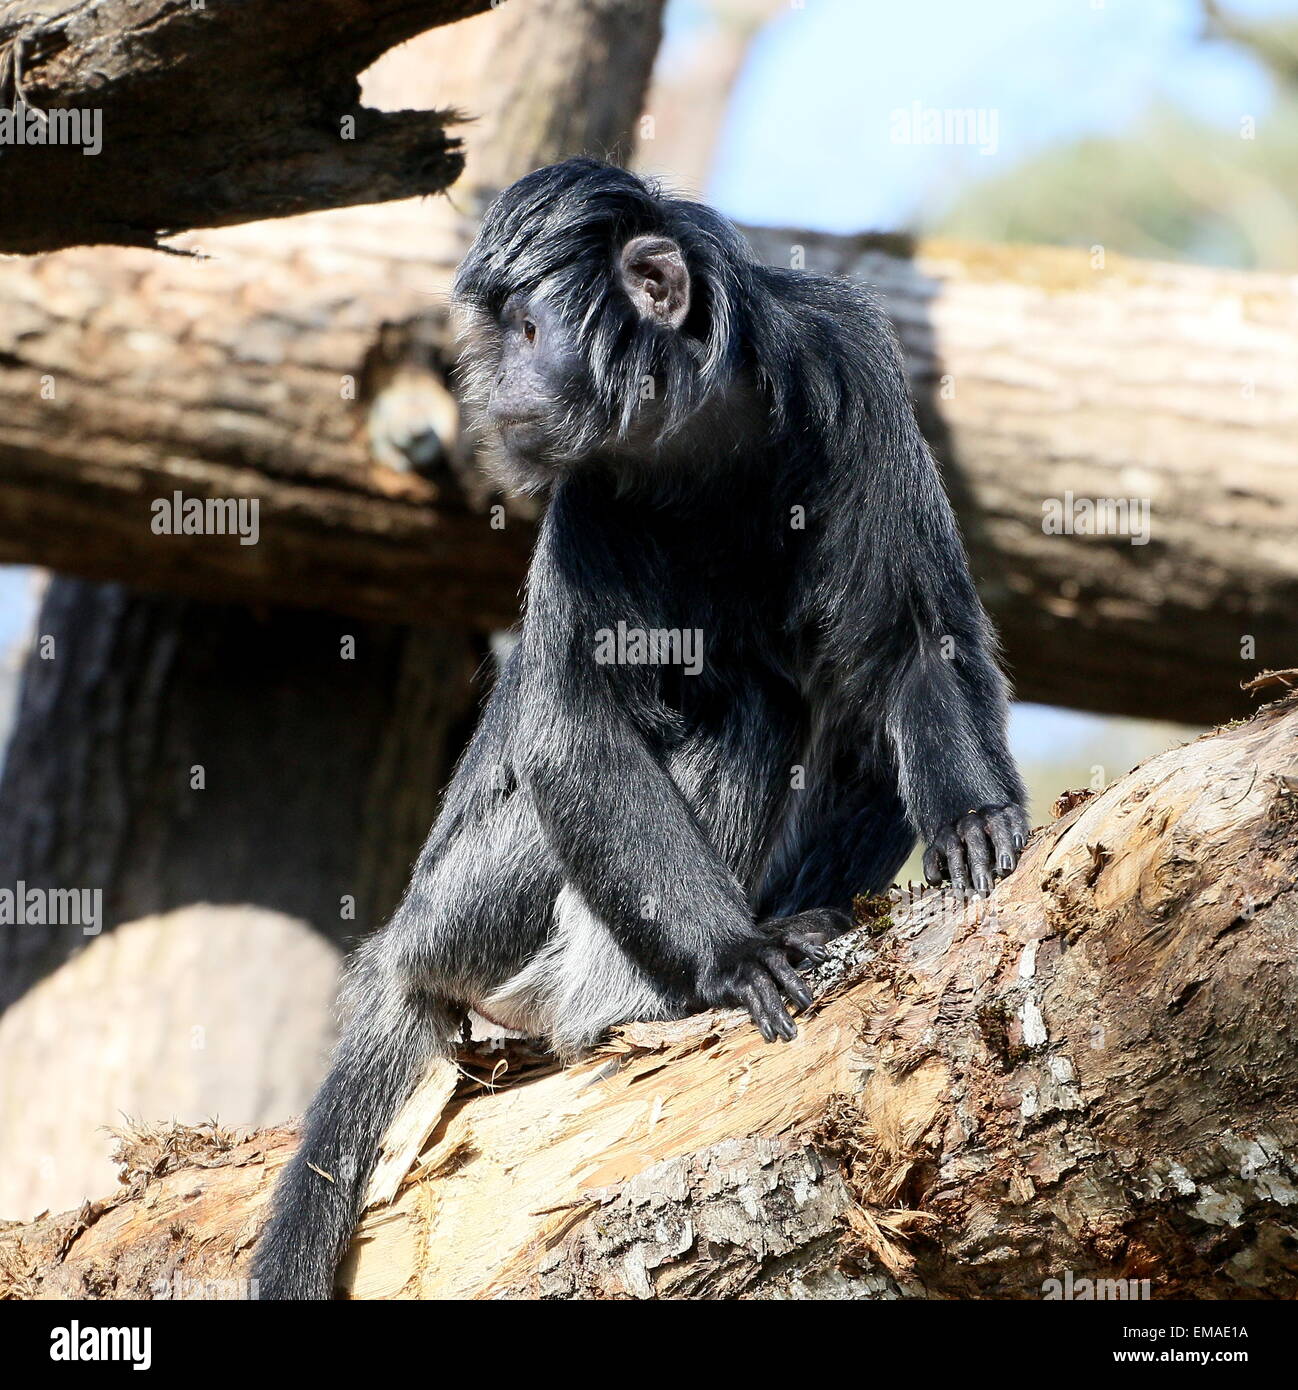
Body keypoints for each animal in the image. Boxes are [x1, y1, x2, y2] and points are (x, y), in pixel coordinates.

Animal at [252, 158, 1028, 1300]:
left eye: (528, 330)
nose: (497, 390)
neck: (710, 438)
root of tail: (399, 946)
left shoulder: (849, 357)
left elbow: (912, 635)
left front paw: (971, 818)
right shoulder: (587, 495)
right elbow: (576, 736)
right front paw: (732, 958)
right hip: (466, 909)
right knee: (739, 712)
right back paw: (634, 1007)